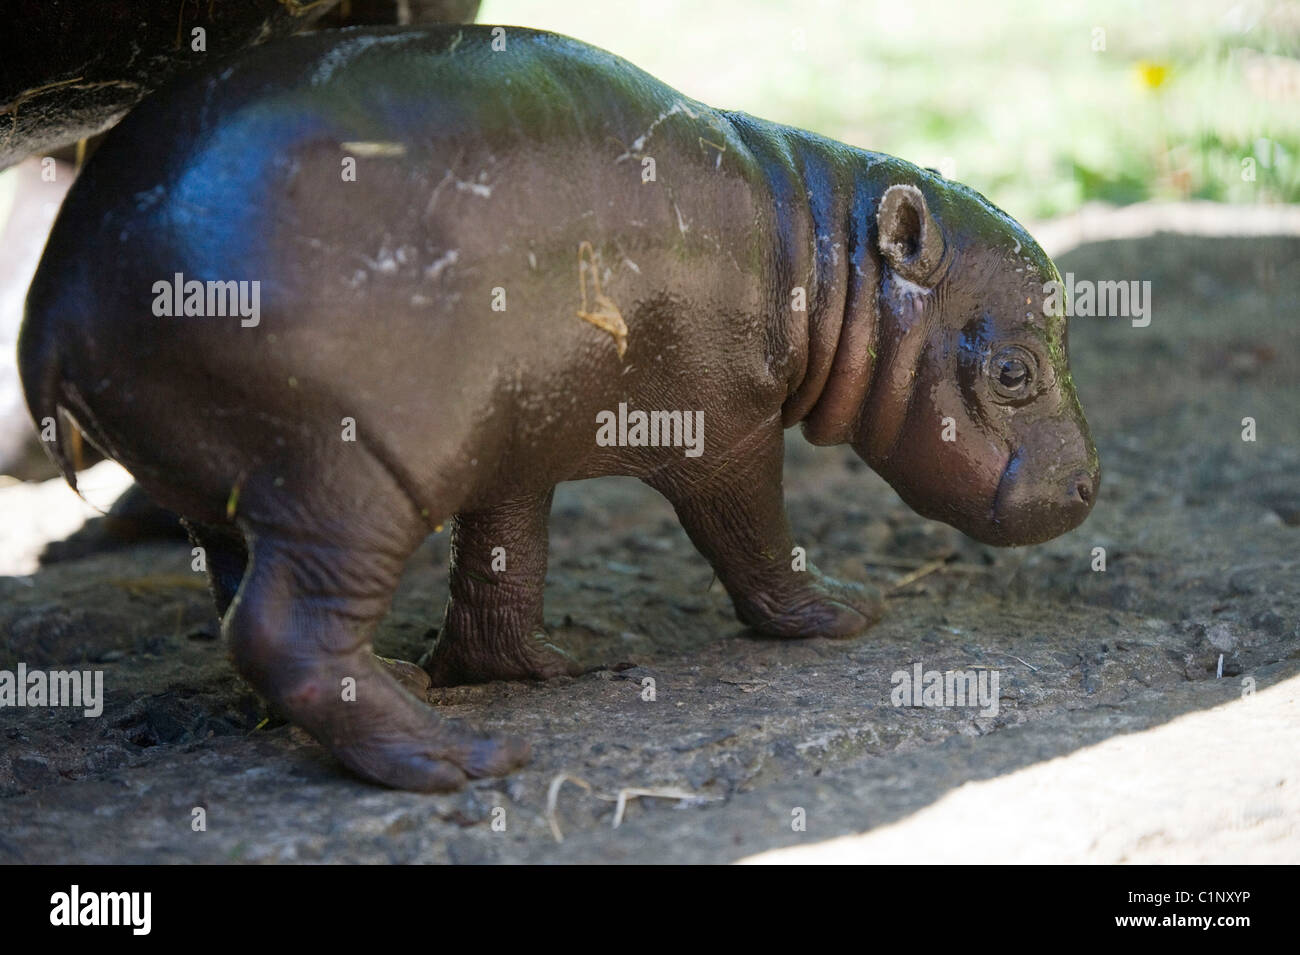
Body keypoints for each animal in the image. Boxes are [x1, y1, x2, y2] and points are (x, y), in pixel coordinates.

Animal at [19, 25, 1099, 790]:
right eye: (1014, 372)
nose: (1091, 484)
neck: (822, 254)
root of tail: (56, 300)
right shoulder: (728, 429)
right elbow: (753, 532)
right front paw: (841, 612)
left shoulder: (517, 439)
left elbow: (506, 556)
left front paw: (534, 664)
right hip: (353, 478)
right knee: (279, 629)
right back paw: (457, 762)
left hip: (243, 483)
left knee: (238, 590)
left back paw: (407, 683)